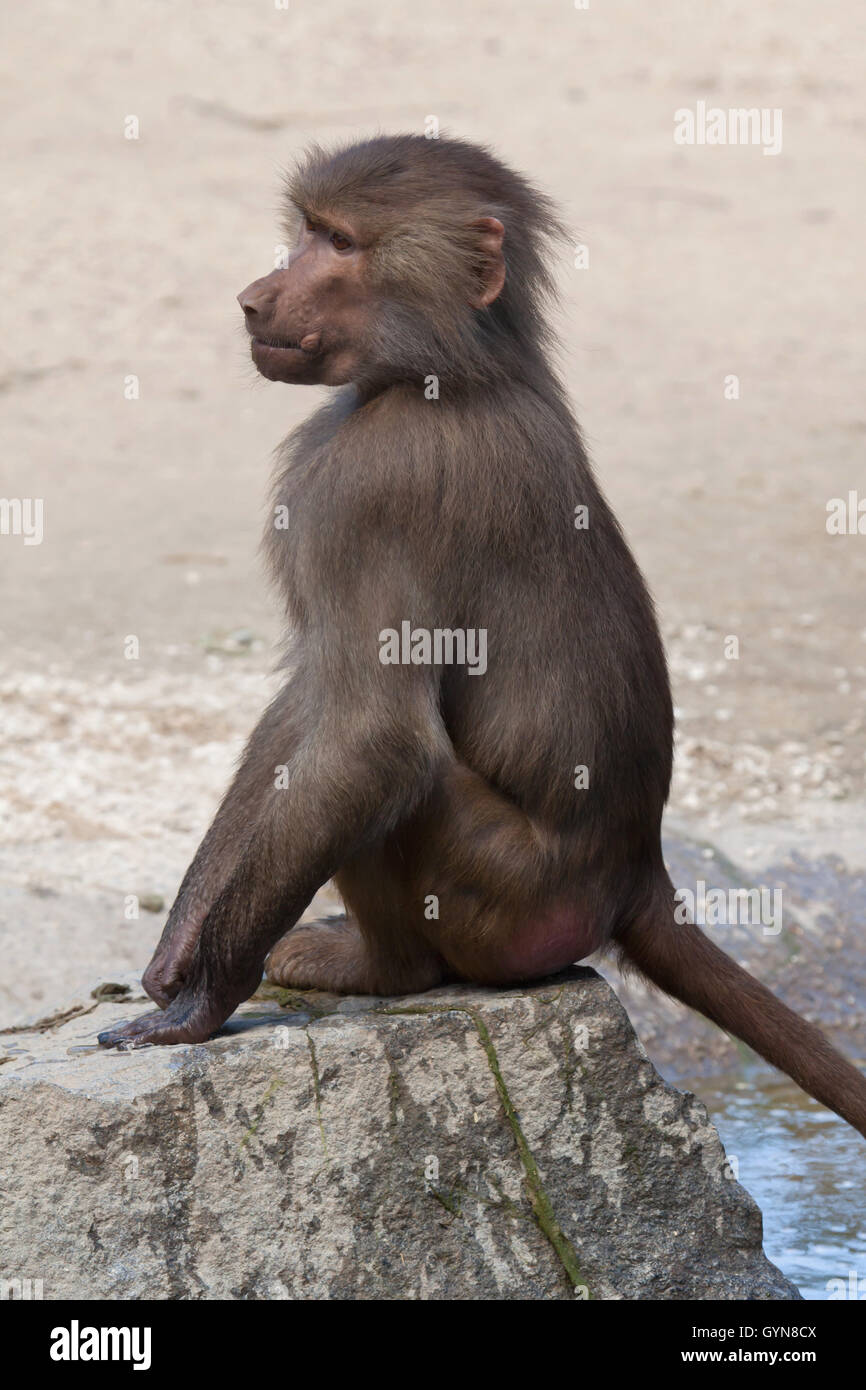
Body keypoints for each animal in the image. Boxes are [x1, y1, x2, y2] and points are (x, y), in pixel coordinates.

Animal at [99, 134, 866, 1141]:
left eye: (341, 243)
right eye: (307, 230)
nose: (253, 299)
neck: (451, 368)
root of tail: (636, 870)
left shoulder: (366, 487)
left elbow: (368, 733)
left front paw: (200, 1001)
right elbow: (309, 700)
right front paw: (180, 945)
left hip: (505, 894)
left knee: (395, 788)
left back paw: (378, 970)